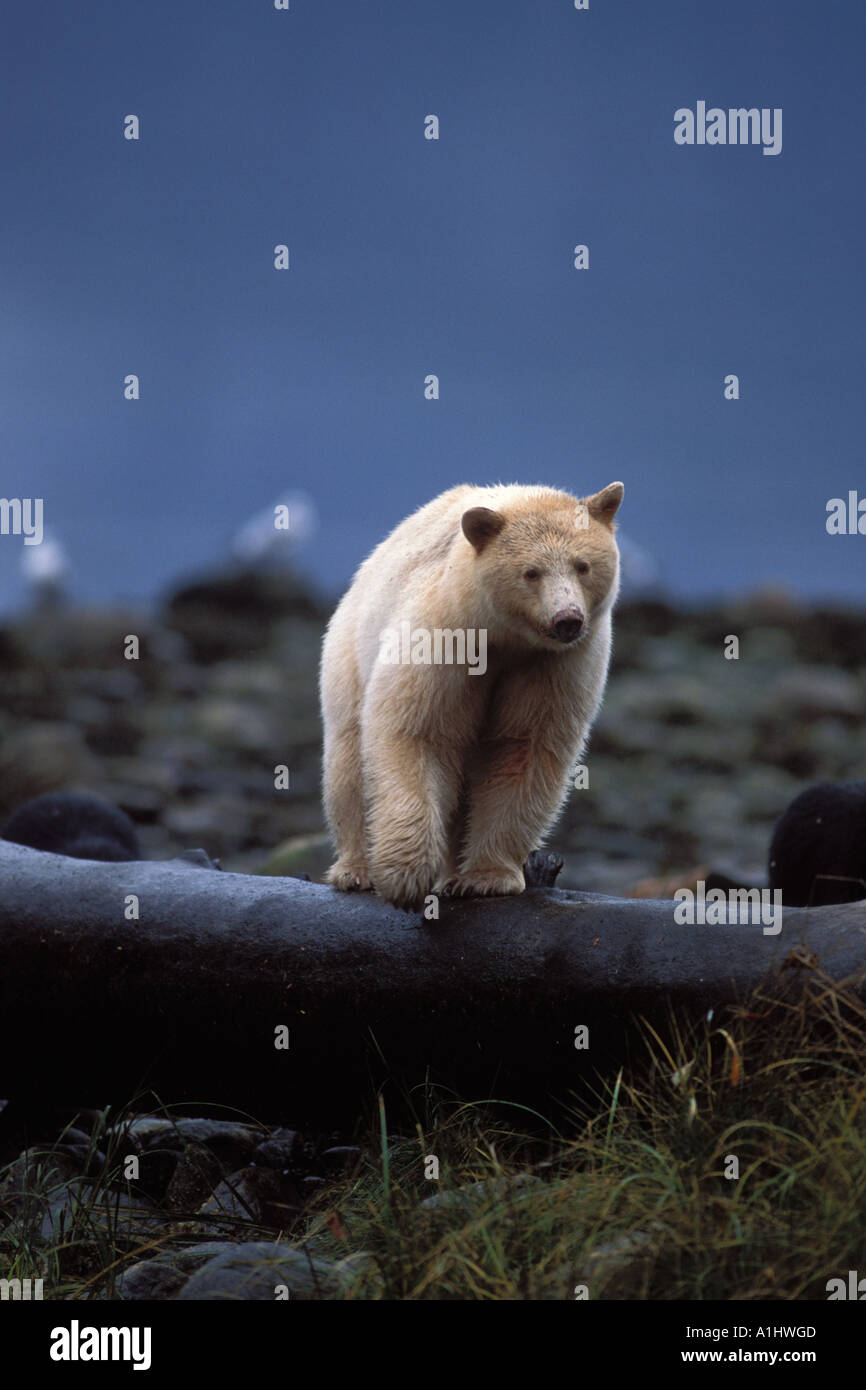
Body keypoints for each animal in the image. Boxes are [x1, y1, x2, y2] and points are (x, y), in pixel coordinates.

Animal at [319, 480, 624, 911]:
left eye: (583, 565)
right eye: (531, 572)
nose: (567, 619)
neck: (504, 637)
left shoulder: (554, 663)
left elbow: (523, 749)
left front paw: (487, 878)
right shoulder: (446, 635)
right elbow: (418, 732)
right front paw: (406, 874)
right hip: (348, 654)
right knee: (347, 760)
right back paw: (355, 869)